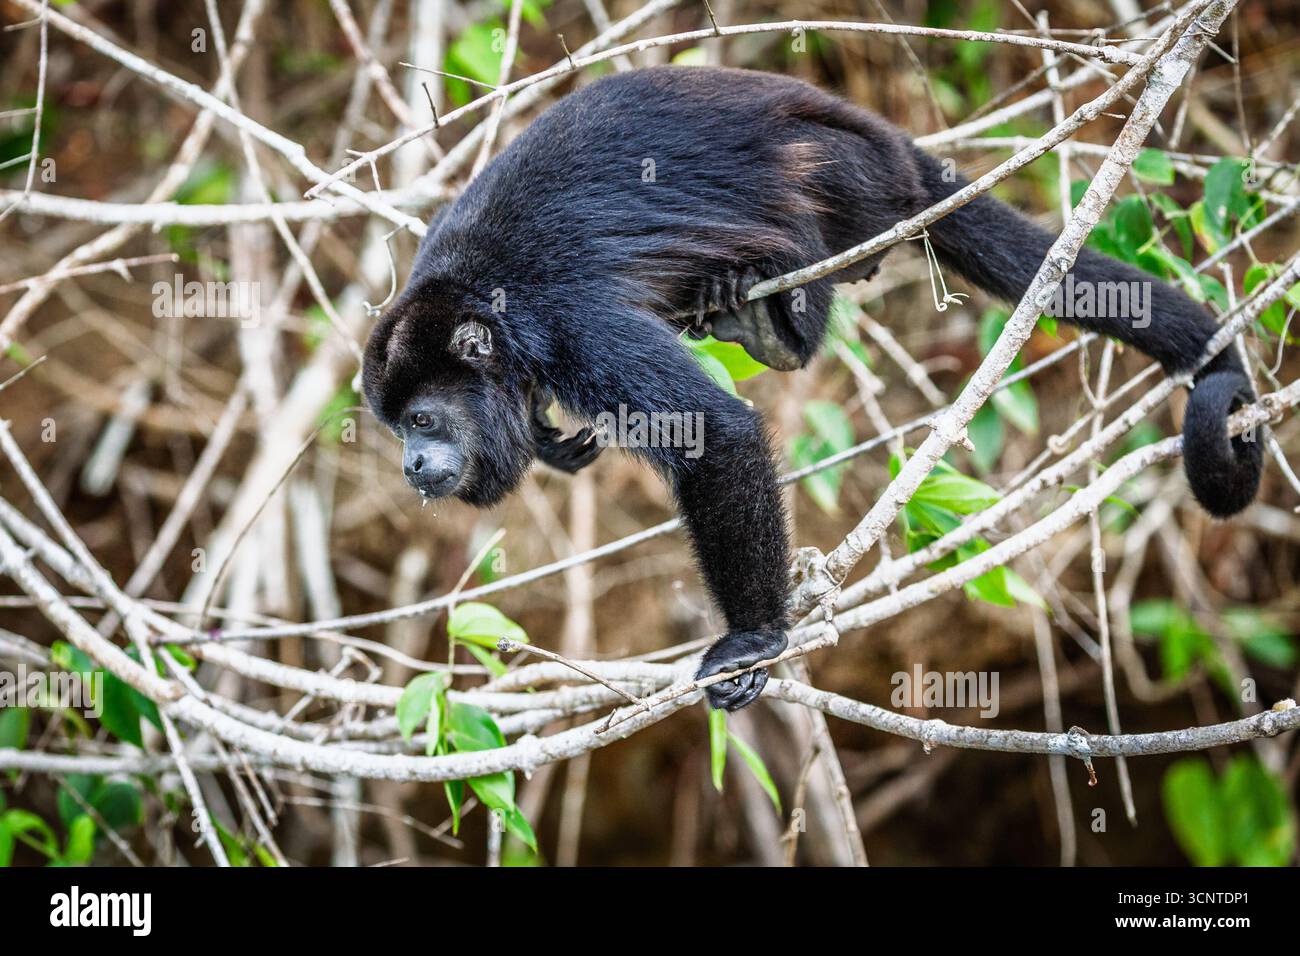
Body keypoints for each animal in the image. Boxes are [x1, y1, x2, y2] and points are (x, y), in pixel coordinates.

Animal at [363, 66, 1263, 712]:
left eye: (424, 419)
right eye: (396, 430)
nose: (409, 466)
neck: (477, 303)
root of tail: (898, 145)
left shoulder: (567, 314)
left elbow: (714, 433)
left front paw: (756, 638)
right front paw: (551, 438)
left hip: (857, 175)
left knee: (812, 196)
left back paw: (786, 312)